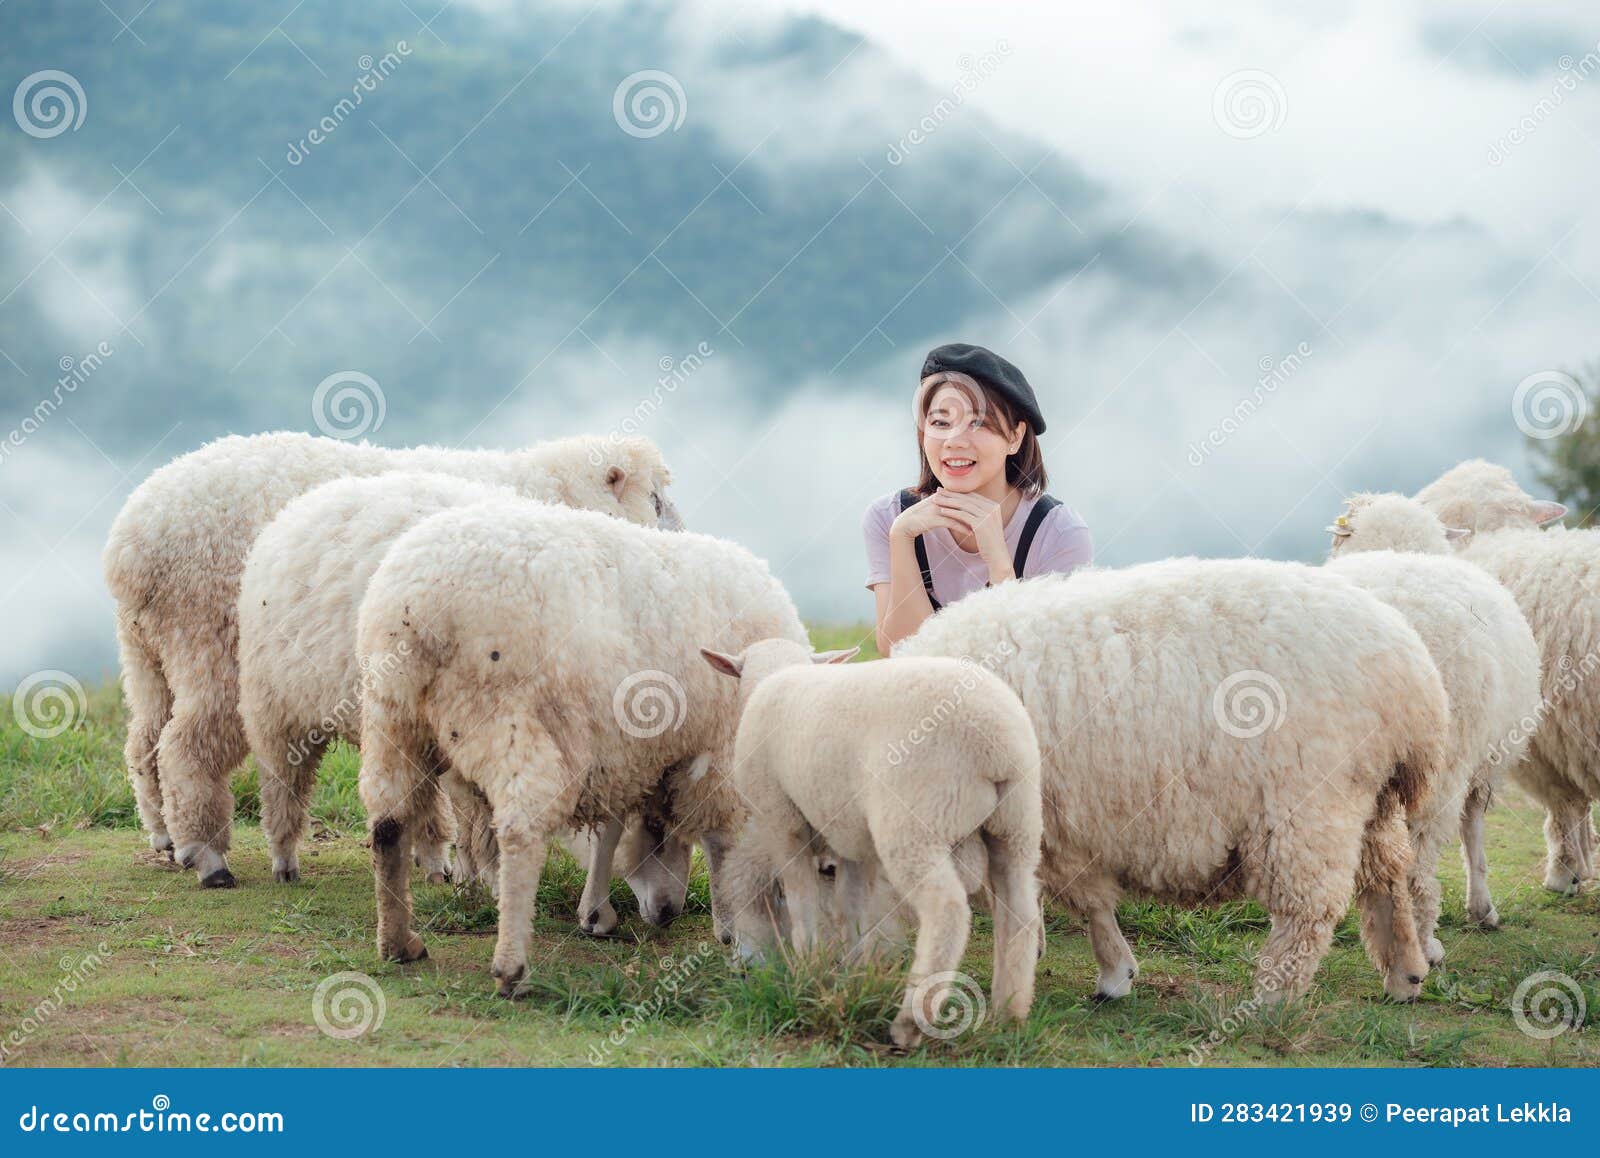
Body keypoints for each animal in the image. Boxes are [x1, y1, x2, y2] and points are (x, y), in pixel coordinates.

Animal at [103, 431, 677, 887]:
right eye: (654, 499)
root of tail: (130, 543)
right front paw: (461, 866)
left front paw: (440, 858)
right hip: (213, 643)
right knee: (186, 744)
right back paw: (207, 855)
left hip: (147, 653)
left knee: (145, 740)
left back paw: (164, 836)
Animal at [355, 500, 807, 986]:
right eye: (659, 831)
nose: (668, 913)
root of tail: (421, 604)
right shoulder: (713, 750)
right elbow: (719, 838)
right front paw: (729, 925)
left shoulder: (617, 749)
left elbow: (610, 829)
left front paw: (595, 911)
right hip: (509, 716)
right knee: (518, 828)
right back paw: (511, 965)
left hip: (392, 718)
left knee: (388, 823)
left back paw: (398, 943)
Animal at [701, 638, 1043, 1048]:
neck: (775, 675)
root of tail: (993, 739)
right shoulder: (850, 837)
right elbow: (849, 908)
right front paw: (852, 975)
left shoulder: (783, 822)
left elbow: (802, 905)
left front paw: (809, 971)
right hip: (1017, 824)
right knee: (1020, 912)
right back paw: (1009, 1012)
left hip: (916, 821)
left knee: (946, 909)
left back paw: (912, 1021)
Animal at [895, 557, 1451, 1003]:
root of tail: (1411, 669)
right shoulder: (1059, 826)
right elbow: (1081, 898)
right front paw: (1111, 970)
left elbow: (1063, 897)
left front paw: (1103, 971)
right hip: (1368, 798)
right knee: (1387, 875)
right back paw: (1405, 974)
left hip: (1308, 802)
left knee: (1310, 909)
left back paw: (1272, 1000)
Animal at [1325, 492, 1542, 962]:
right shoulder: (1481, 759)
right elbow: (1473, 829)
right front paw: (1482, 908)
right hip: (1442, 762)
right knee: (1421, 855)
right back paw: (1424, 942)